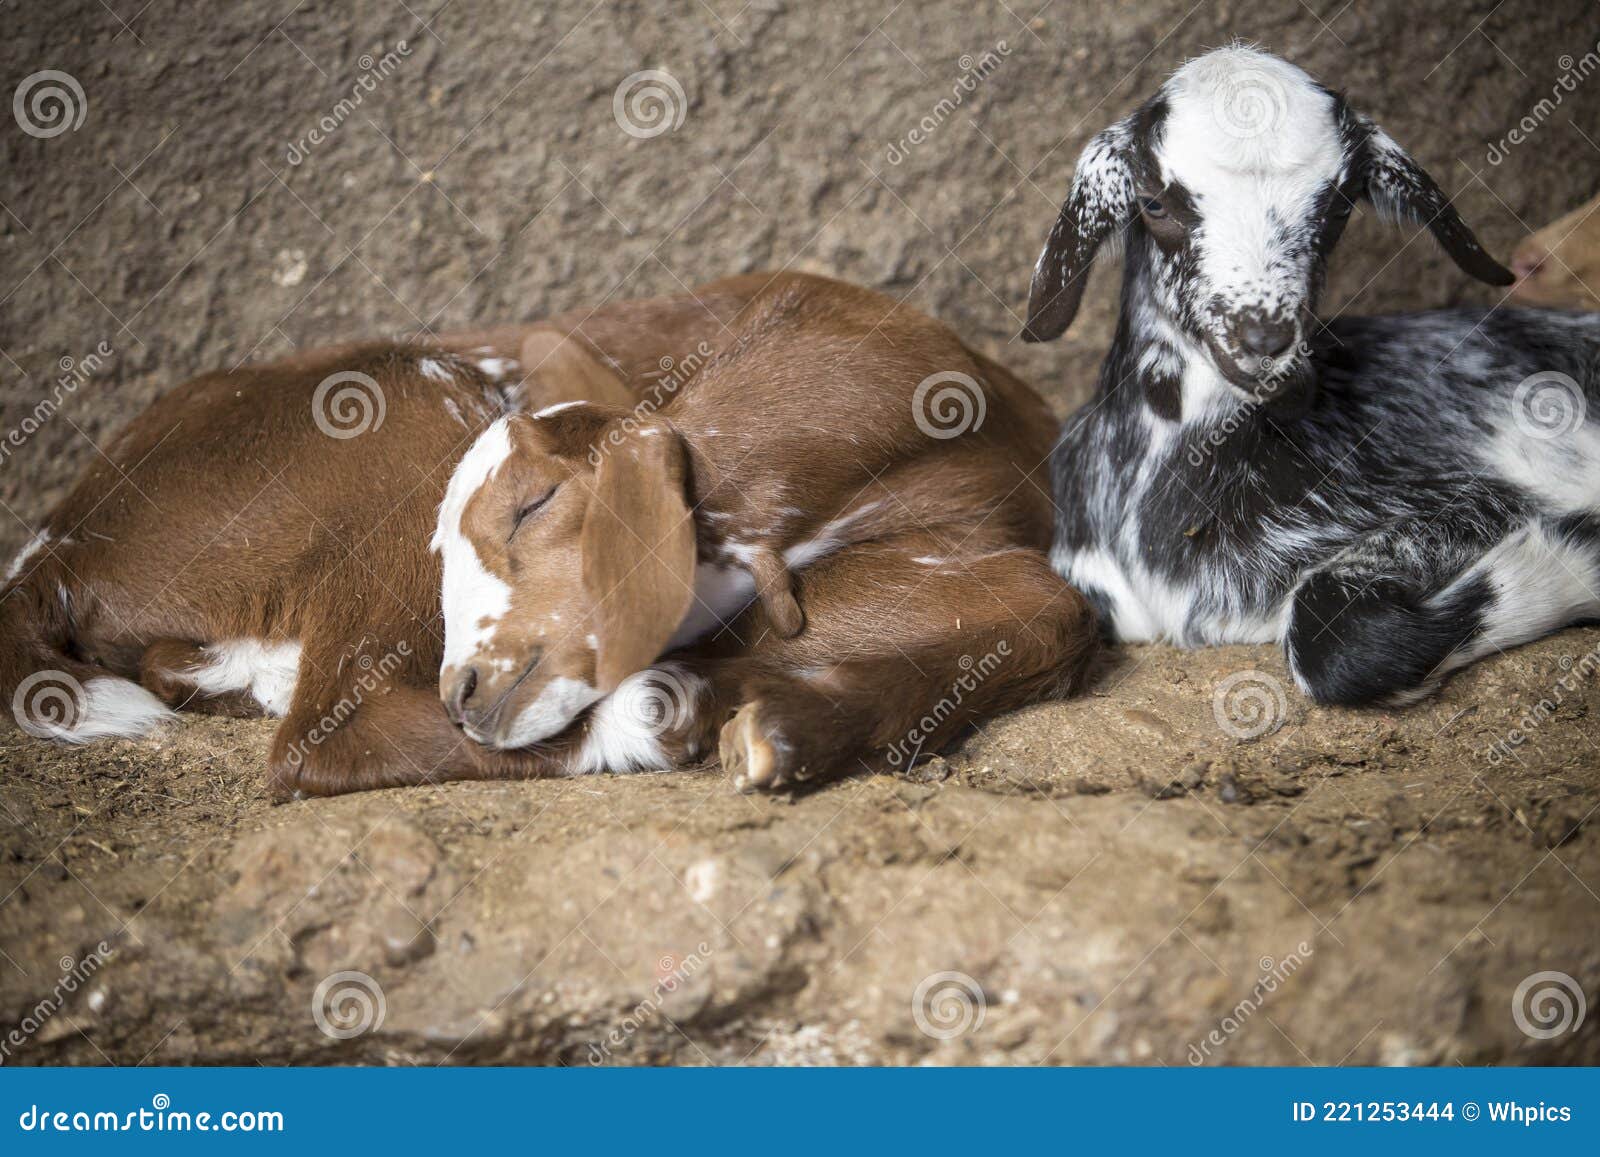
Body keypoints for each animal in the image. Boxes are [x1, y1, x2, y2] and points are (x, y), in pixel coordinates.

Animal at [2, 274, 1093, 796]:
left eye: (532, 507)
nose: (463, 688)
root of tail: (56, 546)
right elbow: (1054, 610)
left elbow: (1049, 612)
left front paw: (786, 723)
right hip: (396, 411)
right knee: (326, 730)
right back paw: (648, 719)